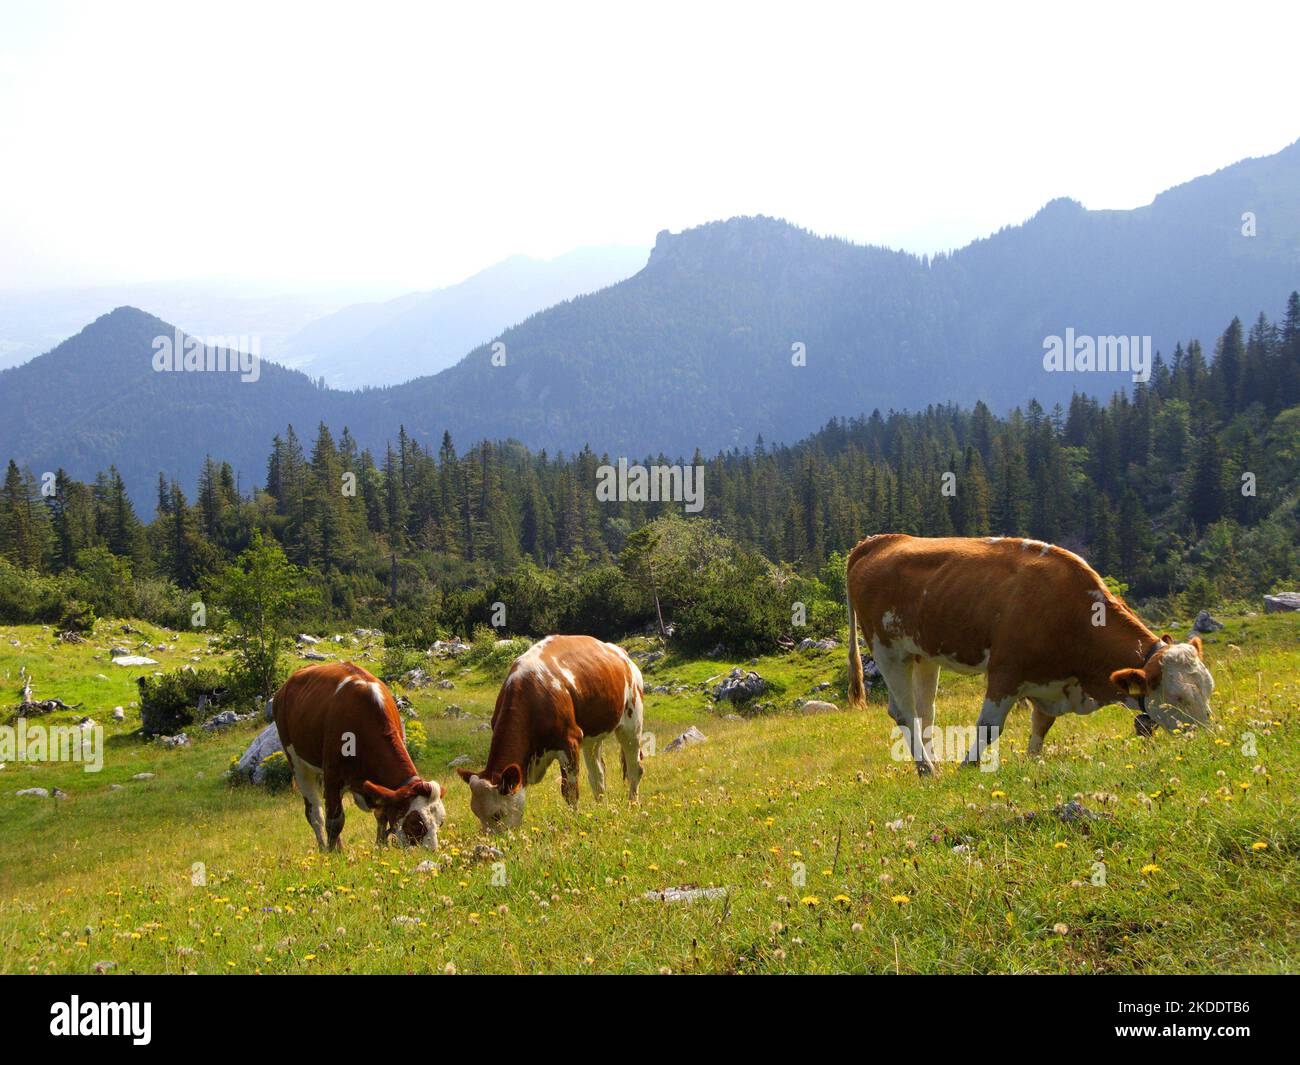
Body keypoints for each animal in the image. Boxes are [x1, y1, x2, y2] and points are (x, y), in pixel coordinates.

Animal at [270, 661, 445, 851]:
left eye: (440, 823)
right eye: (415, 823)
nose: (431, 852)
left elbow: (382, 814)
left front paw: (380, 847)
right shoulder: (333, 775)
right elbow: (335, 822)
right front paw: (334, 855)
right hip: (297, 762)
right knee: (315, 813)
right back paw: (325, 848)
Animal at [456, 635, 644, 833]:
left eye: (497, 814)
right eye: (476, 812)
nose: (493, 840)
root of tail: (622, 654)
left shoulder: (569, 742)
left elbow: (569, 791)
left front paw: (573, 822)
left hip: (632, 722)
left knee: (635, 768)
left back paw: (632, 804)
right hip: (593, 736)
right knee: (598, 774)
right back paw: (603, 809)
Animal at [845, 534, 1215, 774]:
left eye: (1208, 689)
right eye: (1178, 697)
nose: (1208, 742)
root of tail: (877, 541)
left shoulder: (1050, 683)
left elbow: (1041, 727)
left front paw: (1032, 762)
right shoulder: (1006, 671)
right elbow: (989, 727)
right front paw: (967, 768)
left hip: (924, 654)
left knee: (924, 711)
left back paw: (932, 765)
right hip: (887, 649)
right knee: (905, 712)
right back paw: (928, 770)